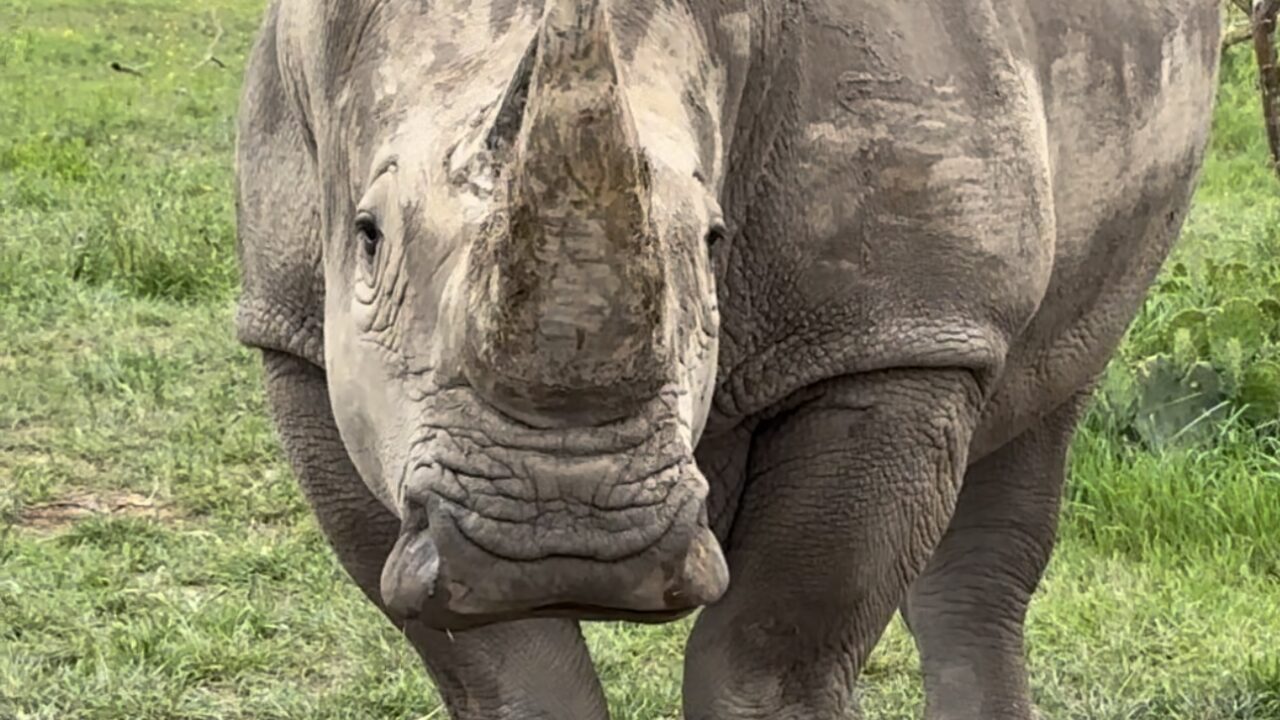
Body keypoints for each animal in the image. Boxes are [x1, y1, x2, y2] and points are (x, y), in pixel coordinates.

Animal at [234, 0, 1220, 716]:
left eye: (715, 241)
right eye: (367, 236)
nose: (561, 538)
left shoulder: (896, 333)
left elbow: (769, 657)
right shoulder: (296, 337)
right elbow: (506, 673)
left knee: (1040, 411)